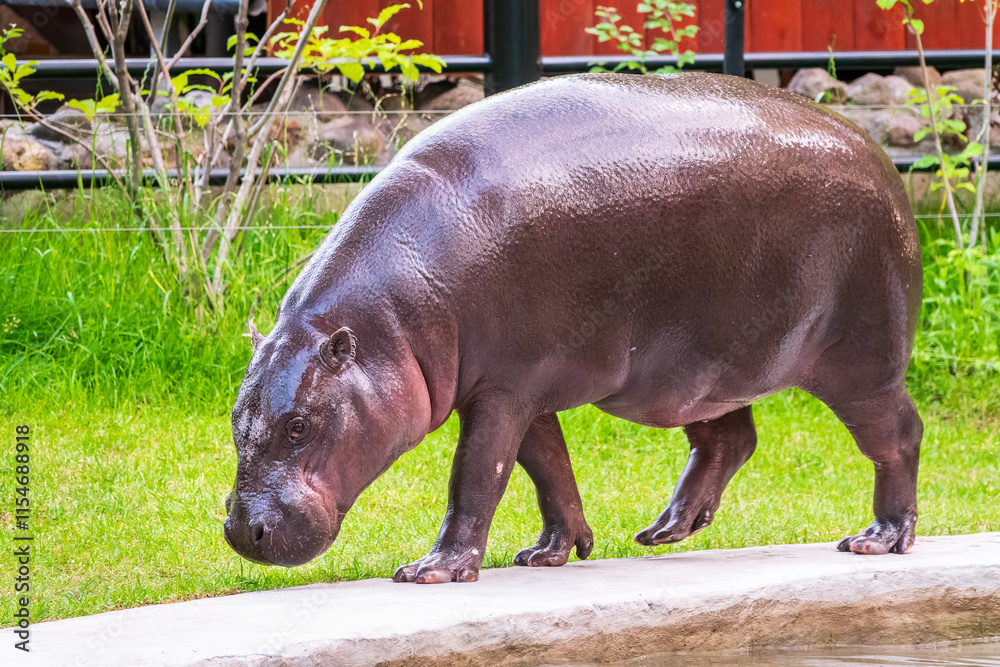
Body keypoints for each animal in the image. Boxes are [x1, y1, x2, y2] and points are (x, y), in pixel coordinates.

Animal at [224, 72, 923, 584]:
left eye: (299, 425)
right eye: (235, 419)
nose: (239, 531)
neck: (388, 326)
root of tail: (880, 158)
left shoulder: (501, 391)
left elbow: (478, 474)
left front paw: (432, 572)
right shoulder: (520, 389)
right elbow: (547, 470)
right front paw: (551, 554)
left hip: (862, 363)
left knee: (898, 436)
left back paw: (878, 540)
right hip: (698, 371)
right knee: (731, 437)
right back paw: (665, 530)